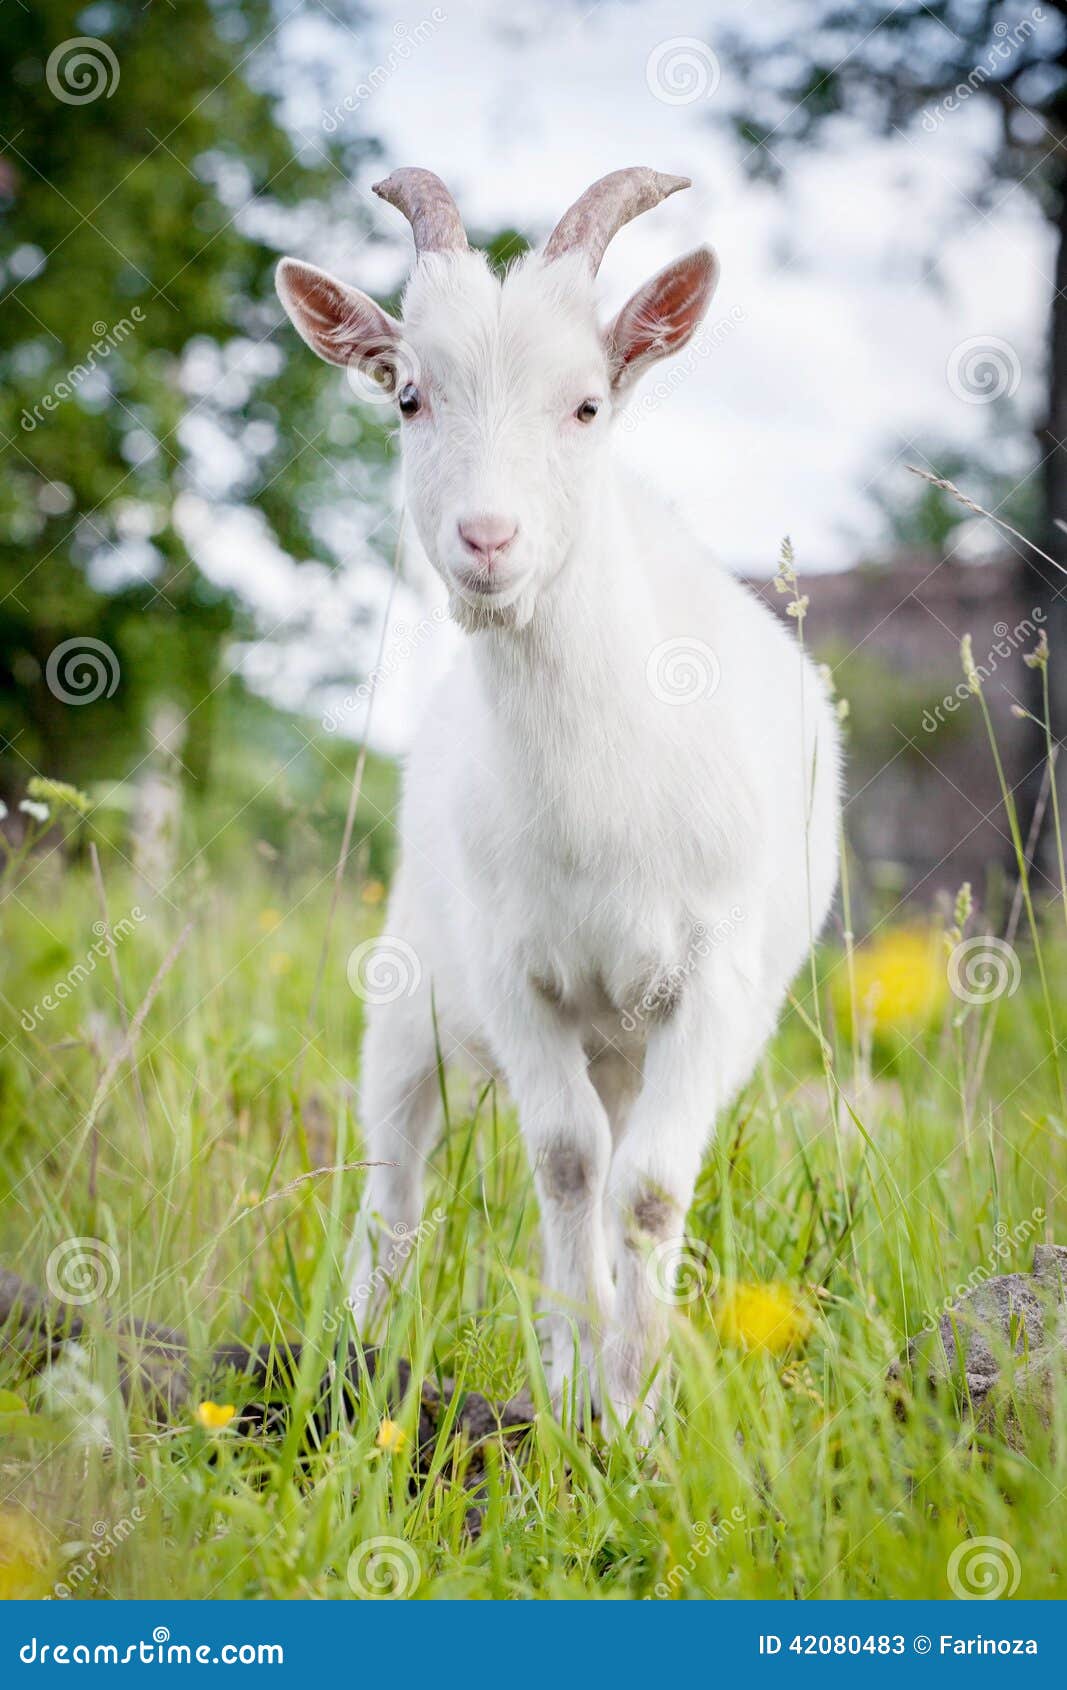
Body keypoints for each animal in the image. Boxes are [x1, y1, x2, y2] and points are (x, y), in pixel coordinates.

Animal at [277, 166, 841, 1429]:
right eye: (407, 398)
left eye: (585, 406)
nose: (486, 540)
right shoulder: (513, 973)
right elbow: (565, 1160)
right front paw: (587, 1388)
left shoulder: (712, 981)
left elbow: (645, 1185)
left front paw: (630, 1412)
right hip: (411, 987)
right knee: (396, 1174)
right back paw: (359, 1354)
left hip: (627, 1034)